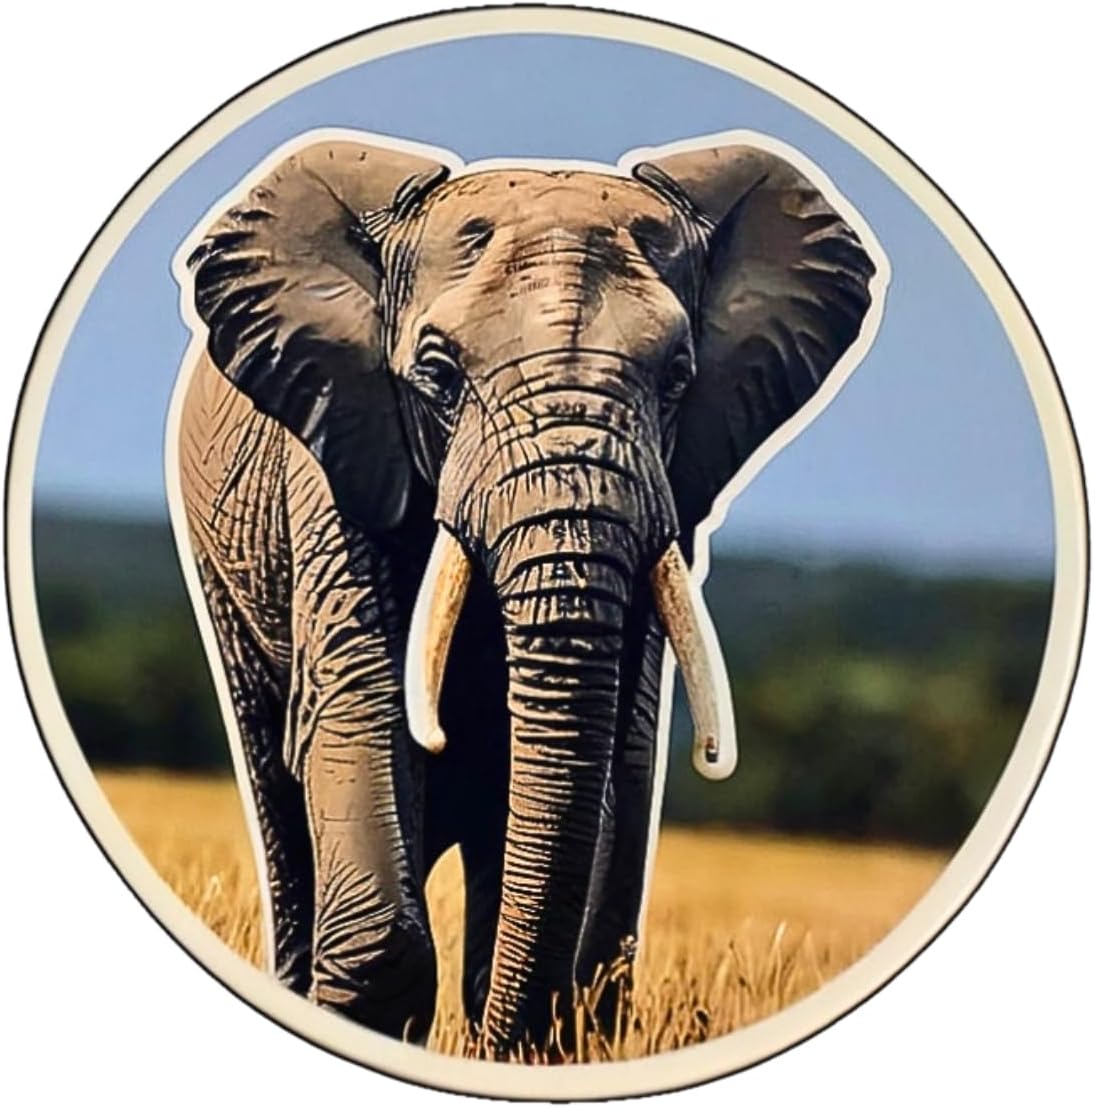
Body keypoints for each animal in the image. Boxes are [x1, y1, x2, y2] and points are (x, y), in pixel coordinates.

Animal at [170, 129, 881, 1056]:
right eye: (437, 375)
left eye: (676, 376)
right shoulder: (331, 459)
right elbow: (360, 706)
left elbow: (609, 756)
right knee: (278, 785)